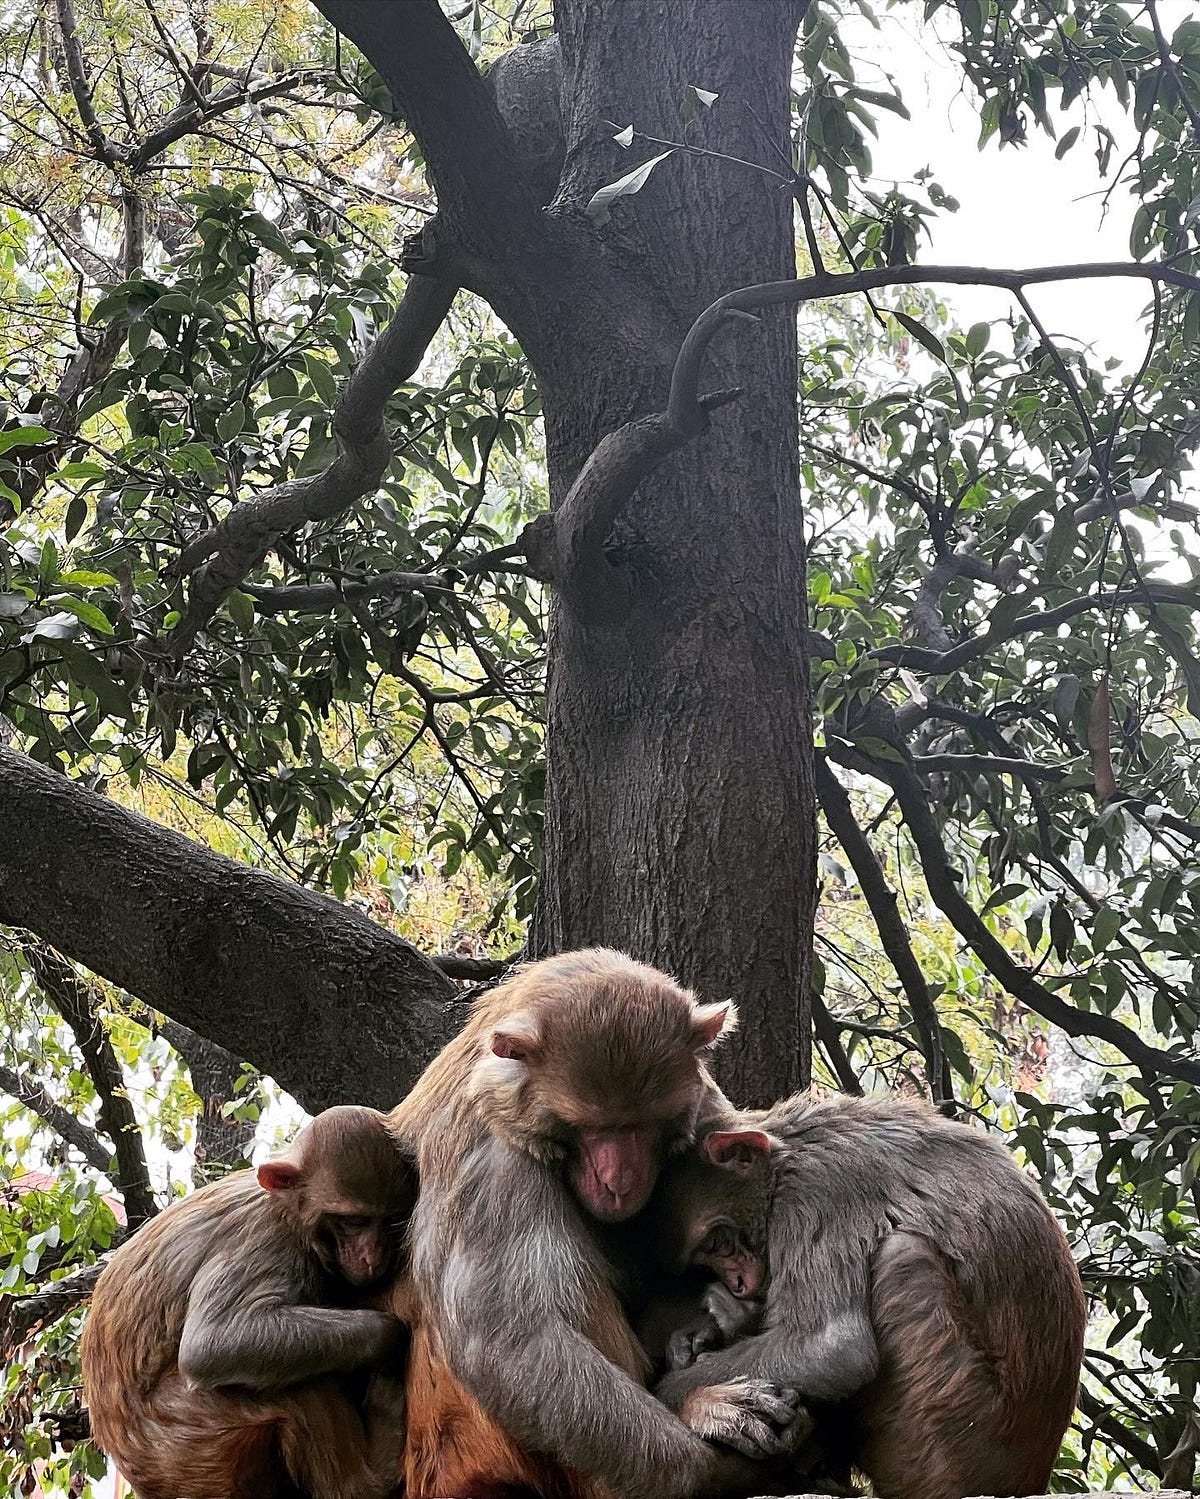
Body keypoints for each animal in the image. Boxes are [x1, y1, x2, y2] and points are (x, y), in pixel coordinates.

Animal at [81, 1104, 417, 1499]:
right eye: (354, 1220)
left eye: (390, 1220)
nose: (371, 1257)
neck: (287, 1210)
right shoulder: (265, 1238)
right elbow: (212, 1344)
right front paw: (387, 1336)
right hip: (184, 1435)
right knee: (296, 1383)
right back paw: (365, 1478)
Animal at [389, 948, 806, 1499]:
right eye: (588, 1128)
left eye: (641, 1124)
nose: (617, 1180)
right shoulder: (492, 1160)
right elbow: (513, 1343)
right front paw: (709, 1460)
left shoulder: (704, 1109)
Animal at [650, 1091, 1088, 1499]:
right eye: (705, 1253)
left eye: (718, 1241)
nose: (738, 1281)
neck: (789, 1155)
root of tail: (1032, 1476)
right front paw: (704, 1333)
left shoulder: (815, 1197)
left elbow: (832, 1347)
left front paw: (678, 1393)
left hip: (961, 1447)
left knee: (901, 1256)